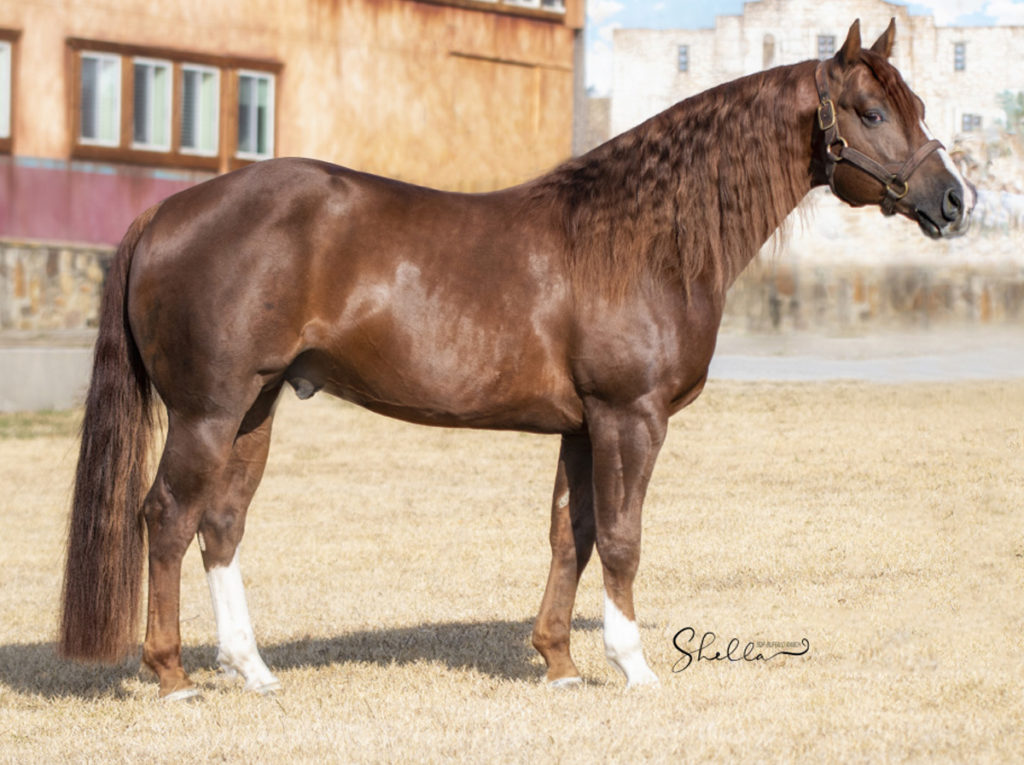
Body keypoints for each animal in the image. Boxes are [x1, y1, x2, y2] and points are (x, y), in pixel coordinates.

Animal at [59, 19, 974, 700]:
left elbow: (572, 535)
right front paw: (634, 666)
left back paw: (251, 669)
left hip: (253, 409)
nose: (955, 200)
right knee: (167, 517)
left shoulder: (581, 427)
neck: (644, 239)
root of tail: (170, 210)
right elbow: (623, 537)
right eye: (868, 111)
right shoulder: (630, 418)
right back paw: (172, 673)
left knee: (221, 524)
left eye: (921, 103)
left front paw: (559, 662)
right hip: (208, 412)